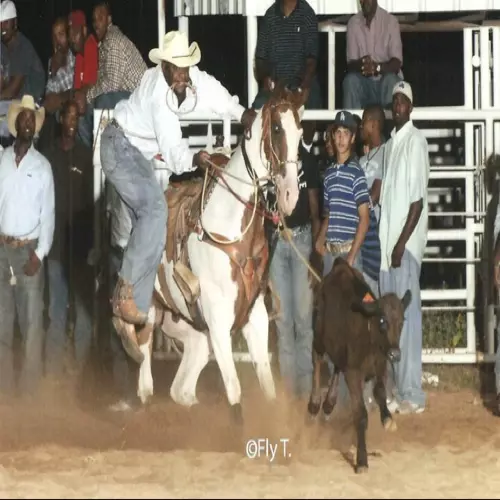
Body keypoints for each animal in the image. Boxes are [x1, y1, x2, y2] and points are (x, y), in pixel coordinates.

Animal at [118, 88, 304, 420]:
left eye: (301, 132)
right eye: (277, 129)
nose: (289, 194)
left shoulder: (255, 317)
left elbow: (267, 387)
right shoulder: (218, 323)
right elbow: (235, 392)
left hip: (193, 333)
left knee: (181, 389)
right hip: (149, 316)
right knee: (145, 379)